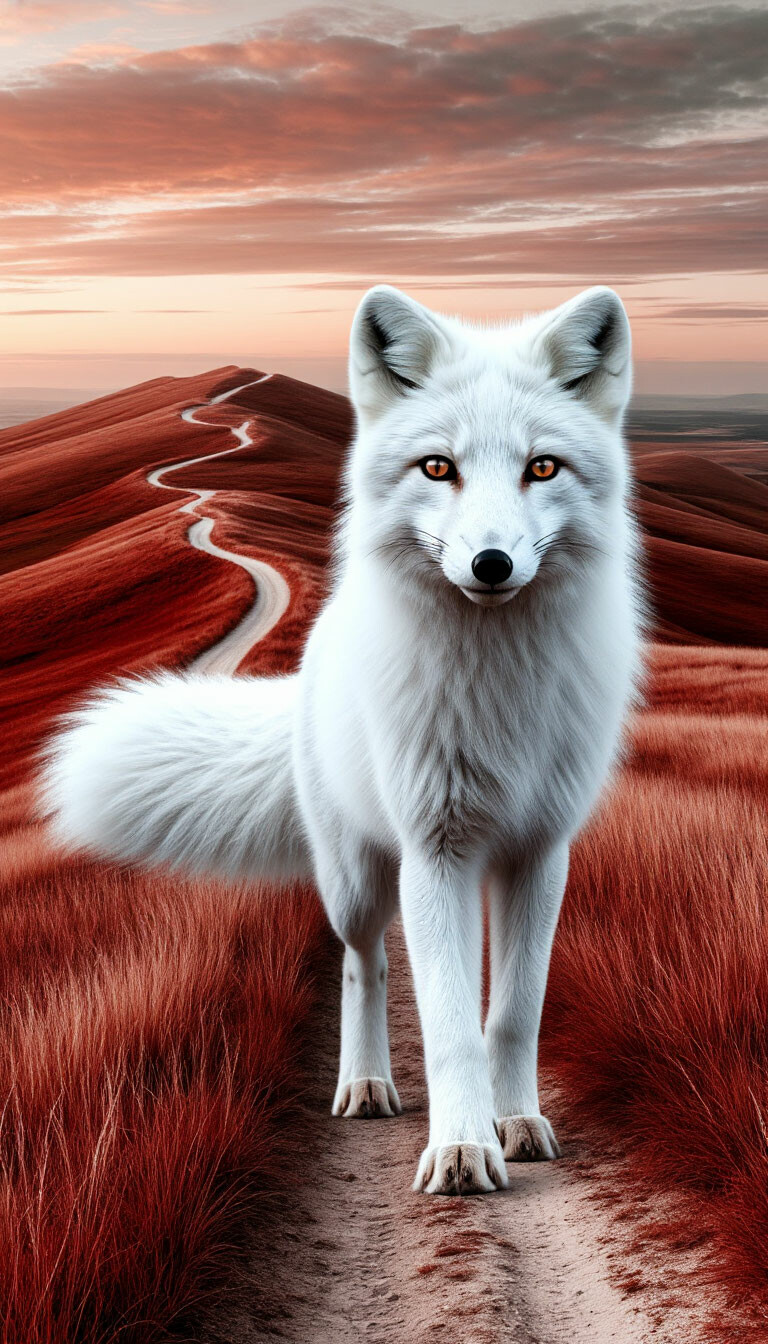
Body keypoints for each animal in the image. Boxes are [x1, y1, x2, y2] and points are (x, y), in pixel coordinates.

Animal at [43, 283, 643, 1196]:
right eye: (438, 468)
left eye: (542, 468)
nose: (492, 564)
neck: (498, 685)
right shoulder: (437, 848)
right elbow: (448, 1021)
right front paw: (461, 1148)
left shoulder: (540, 850)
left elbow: (511, 1012)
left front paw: (513, 1122)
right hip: (357, 878)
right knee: (366, 963)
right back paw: (365, 1085)